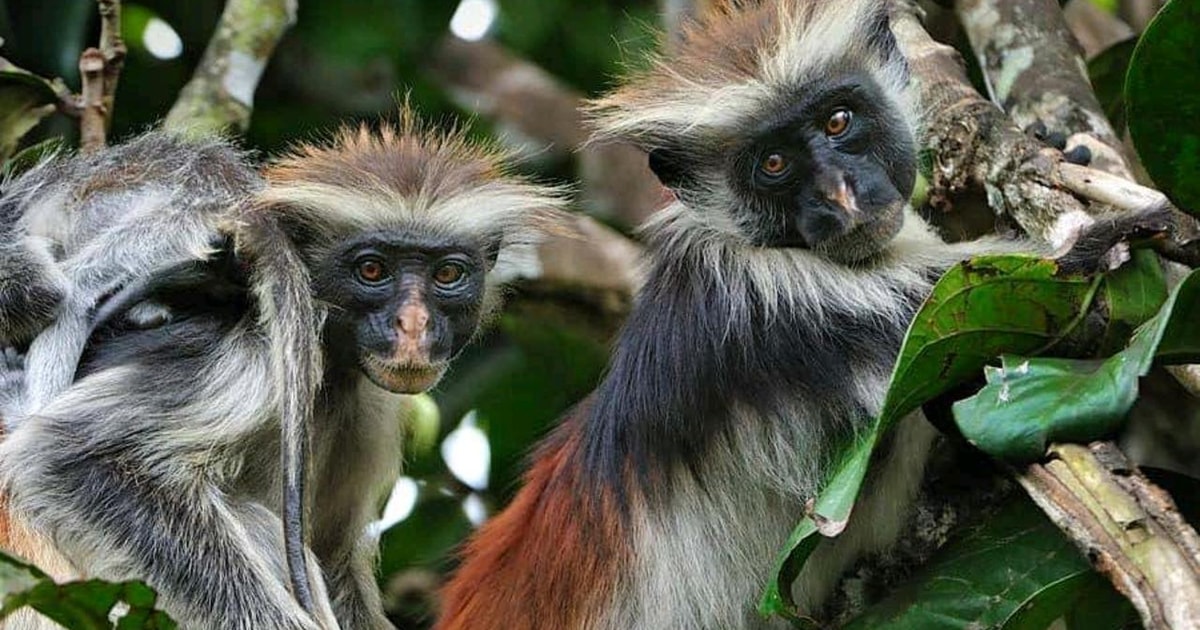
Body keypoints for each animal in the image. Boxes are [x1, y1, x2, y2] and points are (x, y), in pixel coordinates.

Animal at [0, 111, 567, 629]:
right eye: (372, 270)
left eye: (447, 274)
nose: (412, 324)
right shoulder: (252, 354)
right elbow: (71, 460)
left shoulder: (369, 400)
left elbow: (334, 555)